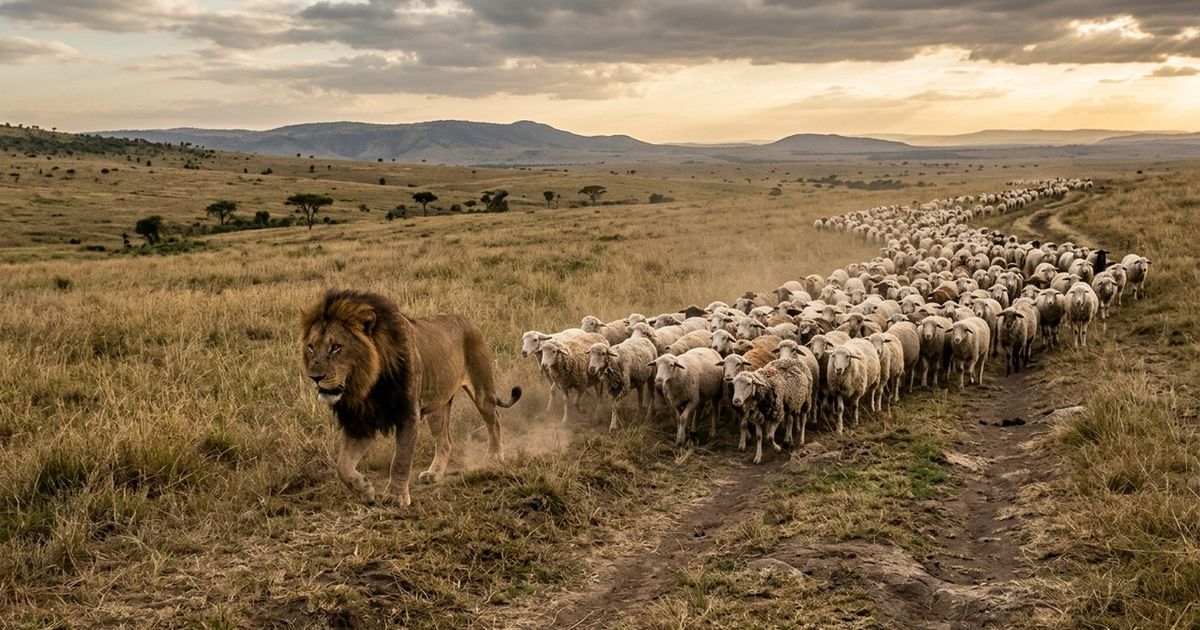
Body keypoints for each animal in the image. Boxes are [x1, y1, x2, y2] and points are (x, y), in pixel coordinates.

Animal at [301, 289, 521, 505]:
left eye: (336, 347)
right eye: (311, 347)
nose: (314, 377)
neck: (368, 386)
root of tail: (469, 321)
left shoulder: (408, 414)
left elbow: (400, 459)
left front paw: (395, 497)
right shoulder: (360, 421)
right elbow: (342, 466)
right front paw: (365, 489)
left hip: (482, 390)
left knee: (494, 420)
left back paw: (494, 456)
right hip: (437, 408)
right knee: (445, 442)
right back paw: (434, 474)